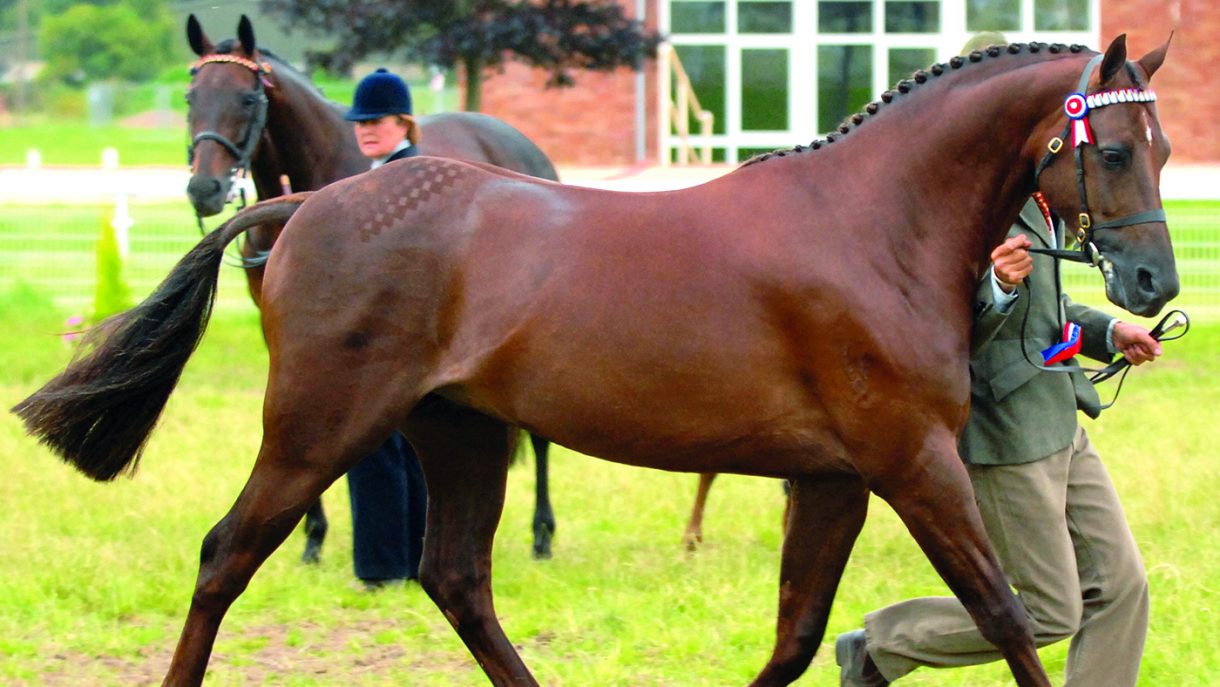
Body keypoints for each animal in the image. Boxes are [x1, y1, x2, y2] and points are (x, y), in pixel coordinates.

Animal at [184, 14, 562, 561]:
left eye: (249, 98)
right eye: (190, 95)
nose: (205, 190)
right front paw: (313, 537)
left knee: (539, 438)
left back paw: (542, 533)